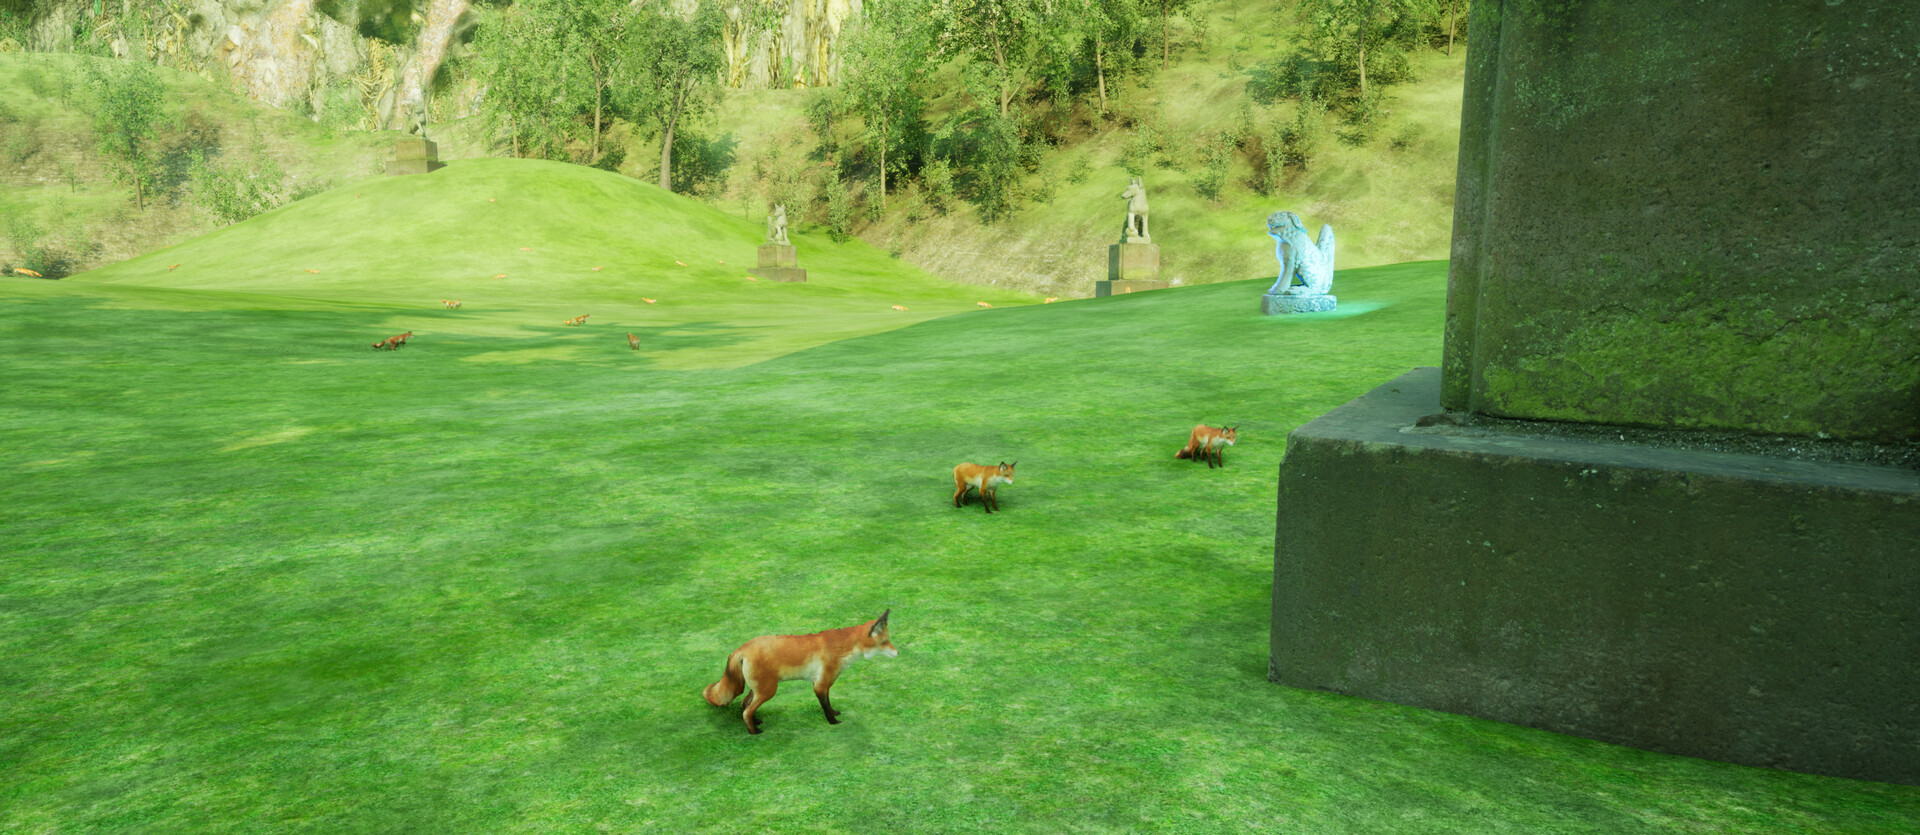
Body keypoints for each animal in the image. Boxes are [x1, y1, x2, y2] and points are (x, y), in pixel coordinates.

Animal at [703, 610, 897, 735]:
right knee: (746, 711)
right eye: (885, 642)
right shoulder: (820, 685)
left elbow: (829, 704)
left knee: (744, 705)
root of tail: (742, 648)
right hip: (768, 690)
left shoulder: (821, 684)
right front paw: (833, 723)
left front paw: (835, 714)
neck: (842, 648)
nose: (897, 653)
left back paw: (756, 721)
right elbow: (825, 707)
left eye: (889, 641)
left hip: (759, 688)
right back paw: (754, 732)